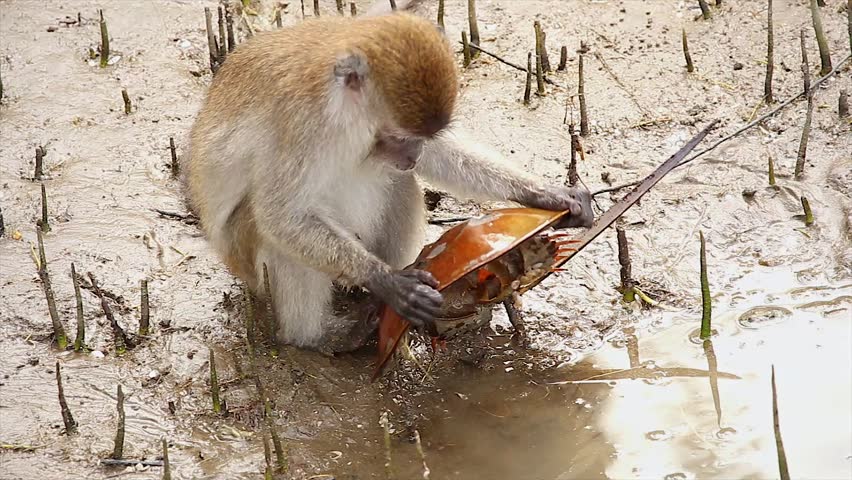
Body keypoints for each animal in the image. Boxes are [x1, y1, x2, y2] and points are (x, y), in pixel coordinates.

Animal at [184, 12, 594, 353]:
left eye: (421, 136)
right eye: (397, 136)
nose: (412, 154)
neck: (343, 115)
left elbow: (439, 157)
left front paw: (549, 195)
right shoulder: (301, 122)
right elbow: (281, 214)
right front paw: (389, 281)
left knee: (399, 183)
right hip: (251, 268)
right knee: (273, 233)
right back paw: (317, 335)